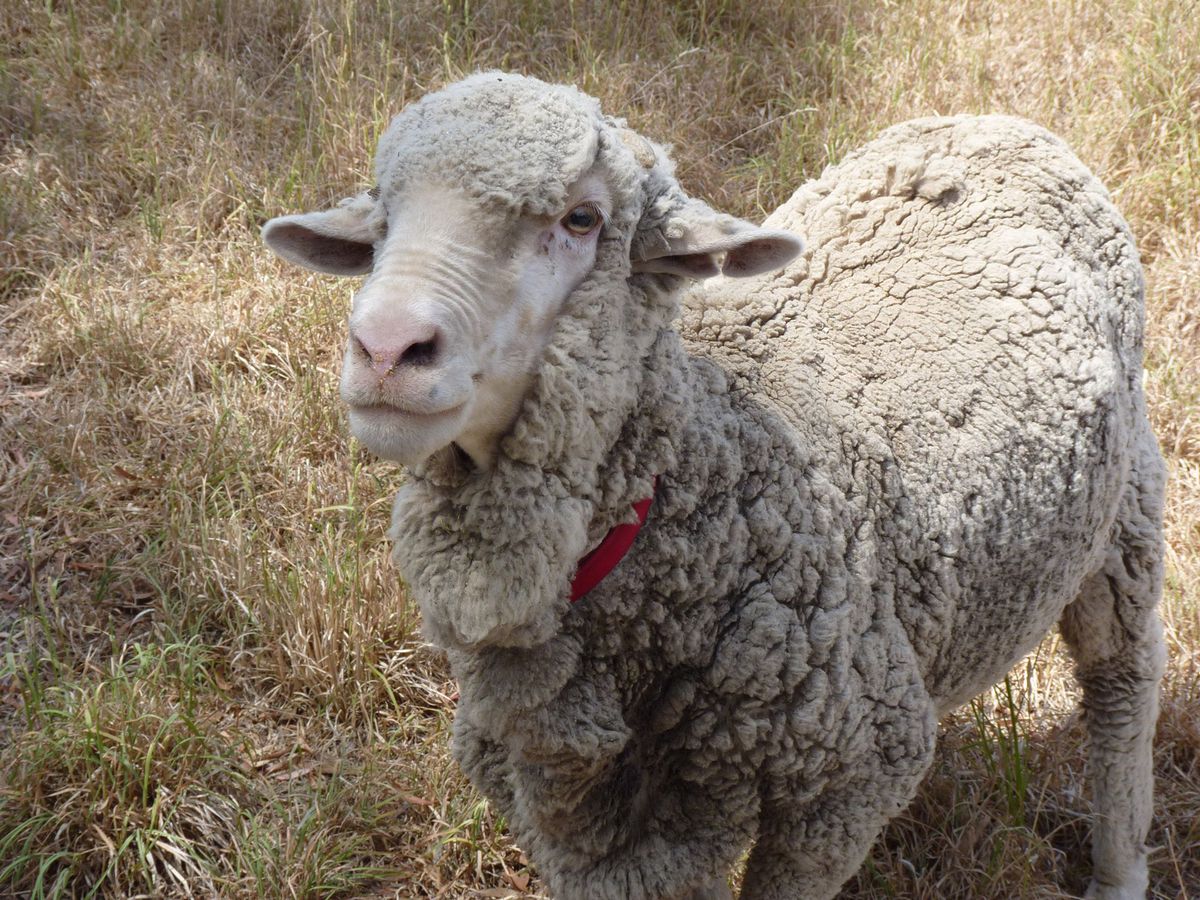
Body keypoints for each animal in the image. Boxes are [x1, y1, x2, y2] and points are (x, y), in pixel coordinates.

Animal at [261, 72, 1165, 900]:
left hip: (1126, 511)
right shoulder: (585, 814)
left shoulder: (854, 776)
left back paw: (1119, 865)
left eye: (581, 220)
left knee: (1123, 683)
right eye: (383, 218)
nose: (385, 348)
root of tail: (997, 123)